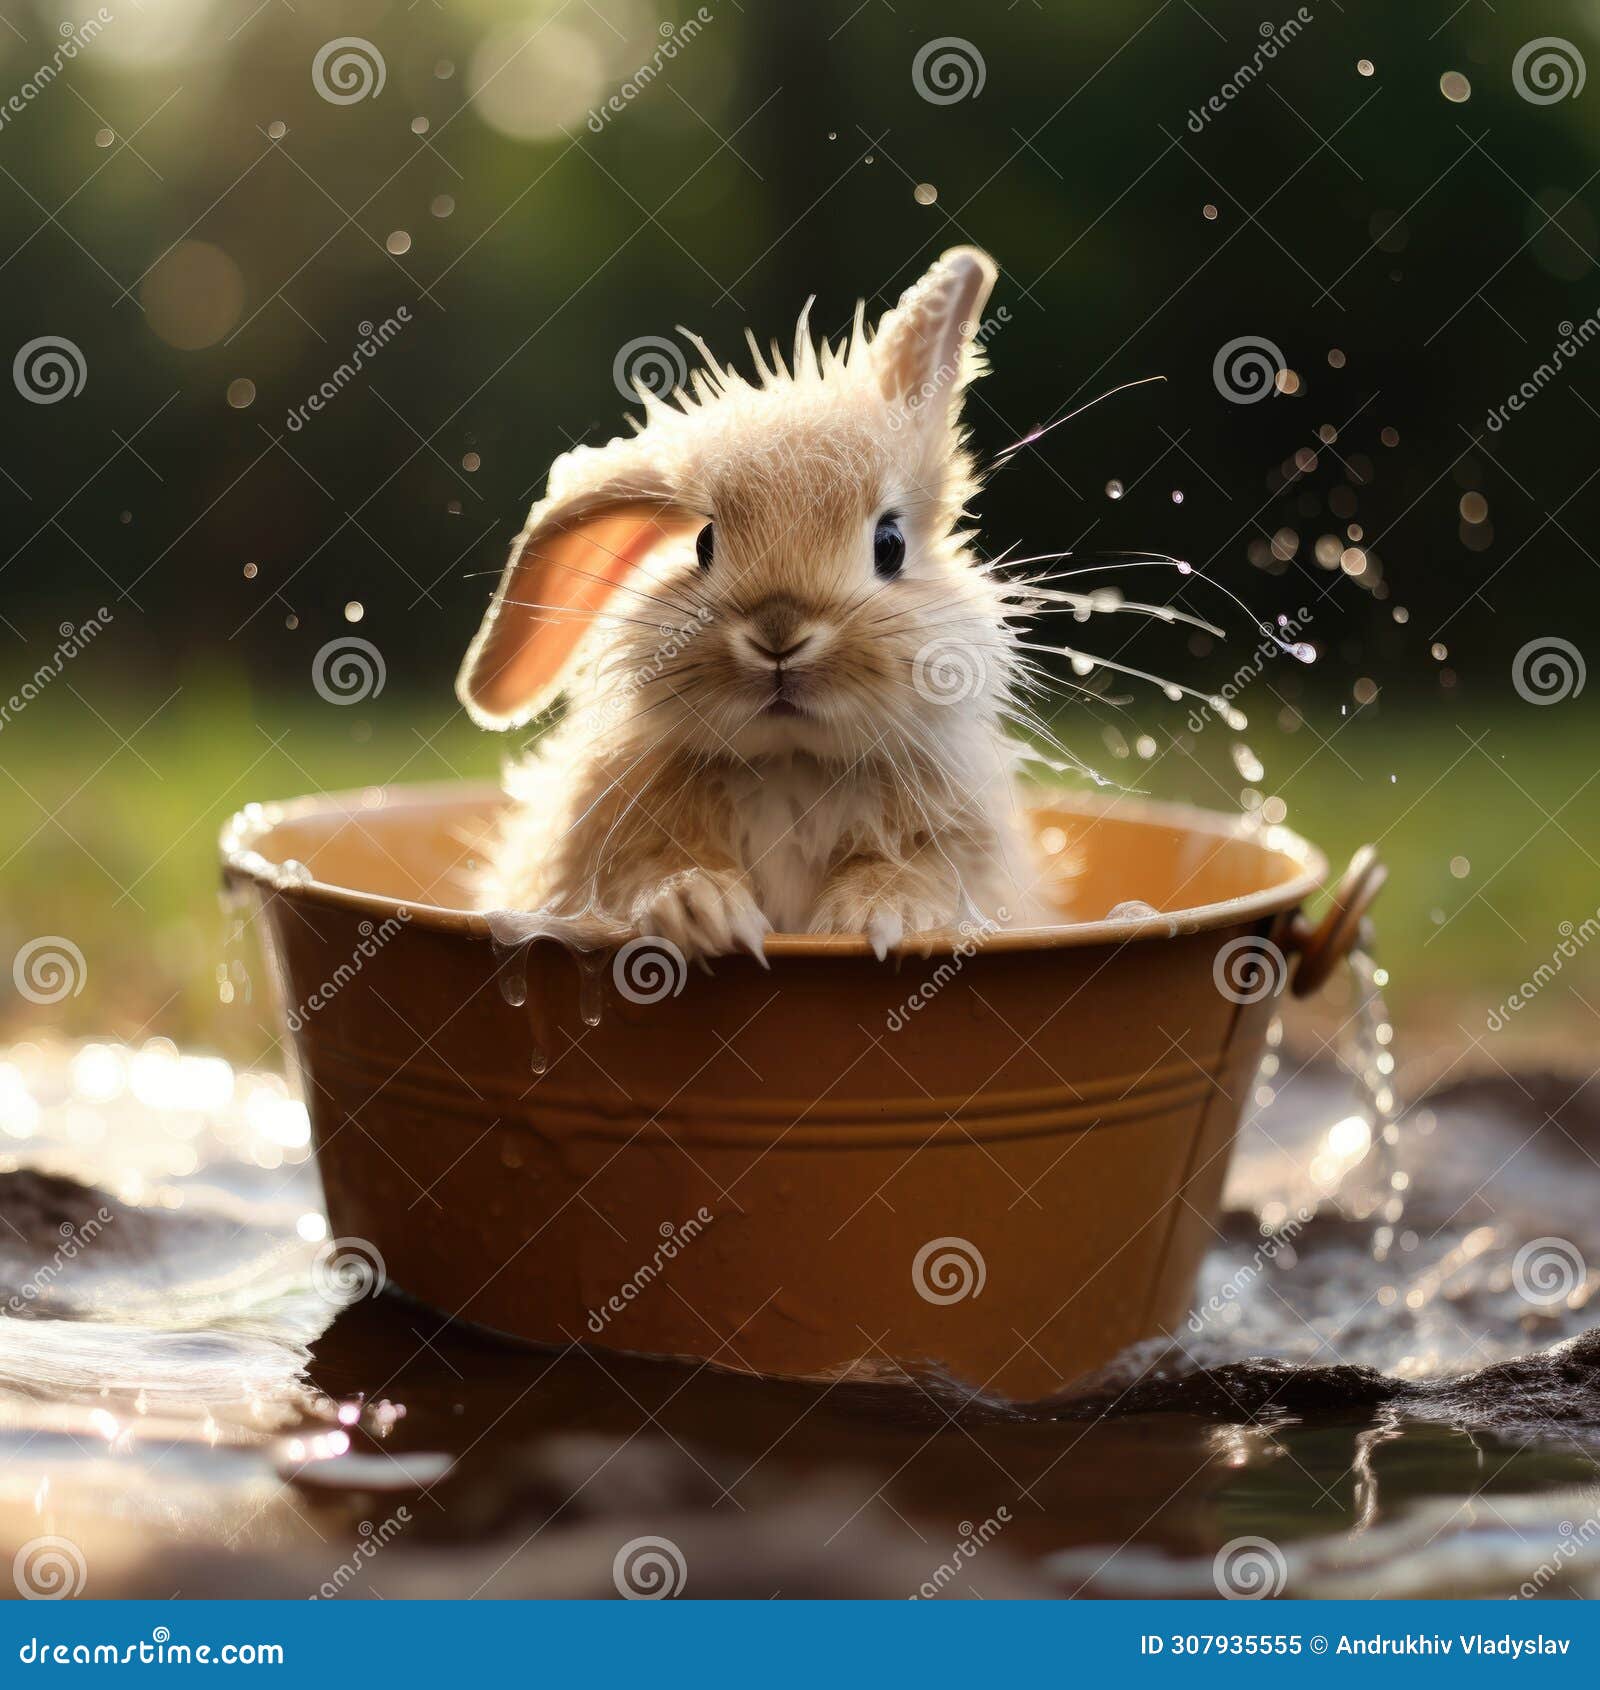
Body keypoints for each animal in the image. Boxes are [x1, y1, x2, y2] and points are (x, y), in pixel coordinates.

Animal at [457, 246, 1073, 963]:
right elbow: (656, 871)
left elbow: (914, 873)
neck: (789, 764)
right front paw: (701, 913)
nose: (779, 633)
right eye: (704, 542)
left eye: (890, 544)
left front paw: (877, 917)